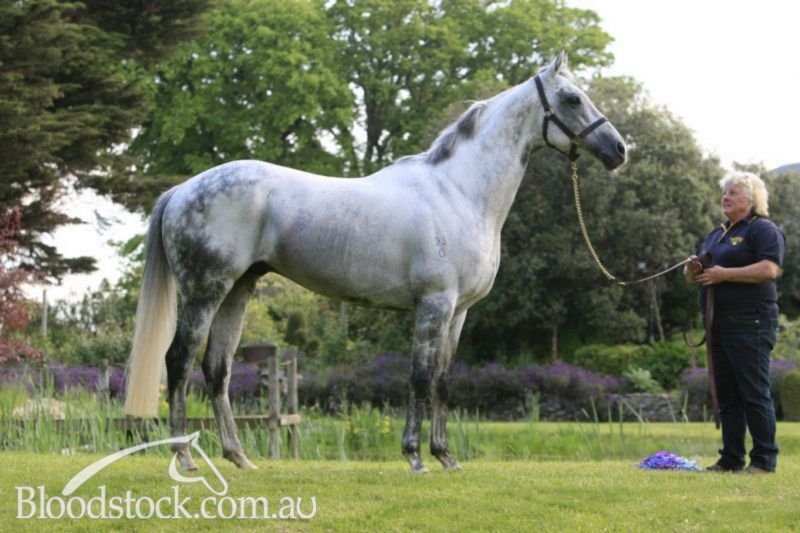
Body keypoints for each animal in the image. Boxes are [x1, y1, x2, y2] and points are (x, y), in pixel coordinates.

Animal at [124, 50, 626, 474]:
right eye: (572, 98)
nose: (619, 150)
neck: (460, 192)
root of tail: (182, 190)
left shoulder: (459, 312)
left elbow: (443, 381)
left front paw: (446, 457)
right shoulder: (434, 304)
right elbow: (420, 377)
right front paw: (415, 457)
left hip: (239, 289)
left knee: (217, 369)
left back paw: (239, 457)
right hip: (205, 292)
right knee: (179, 362)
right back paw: (185, 458)